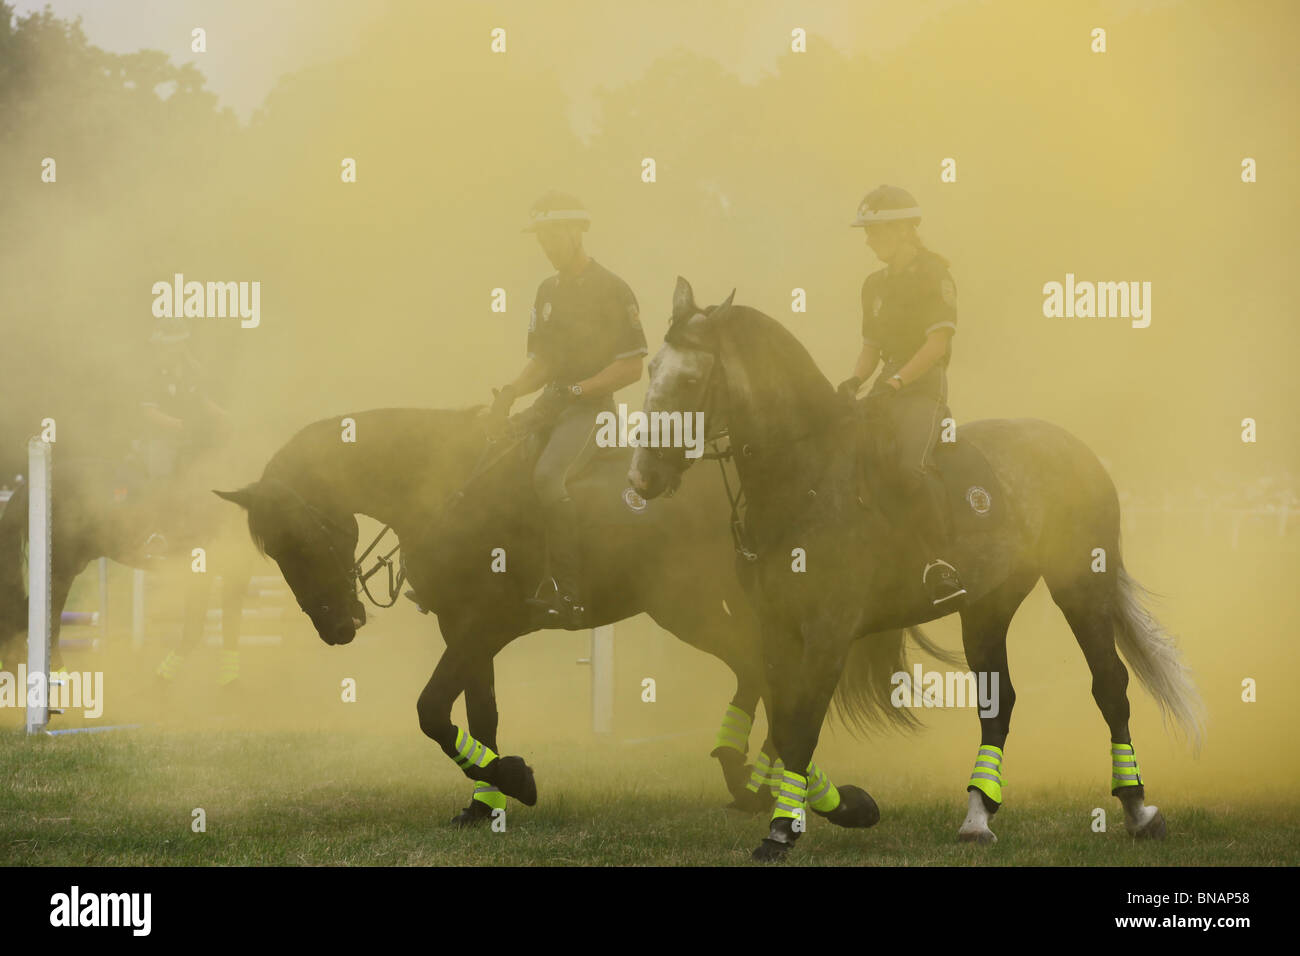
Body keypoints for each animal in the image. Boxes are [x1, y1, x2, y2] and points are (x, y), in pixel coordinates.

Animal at [212, 406, 942, 825]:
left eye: (298, 539)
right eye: (274, 548)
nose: (337, 628)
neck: (449, 481)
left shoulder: (486, 624)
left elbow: (430, 710)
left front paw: (513, 779)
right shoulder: (465, 629)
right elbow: (480, 714)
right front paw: (488, 797)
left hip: (691, 606)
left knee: (766, 672)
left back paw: (762, 783)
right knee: (764, 673)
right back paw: (774, 785)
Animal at [627, 277, 1205, 860]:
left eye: (692, 379)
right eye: (652, 369)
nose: (642, 477)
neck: (805, 480)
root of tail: (1075, 450)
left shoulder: (829, 632)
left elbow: (802, 723)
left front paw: (783, 828)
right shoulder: (774, 628)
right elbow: (784, 719)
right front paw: (846, 806)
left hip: (1081, 585)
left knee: (1109, 684)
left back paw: (1137, 808)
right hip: (988, 606)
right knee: (999, 701)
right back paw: (978, 813)